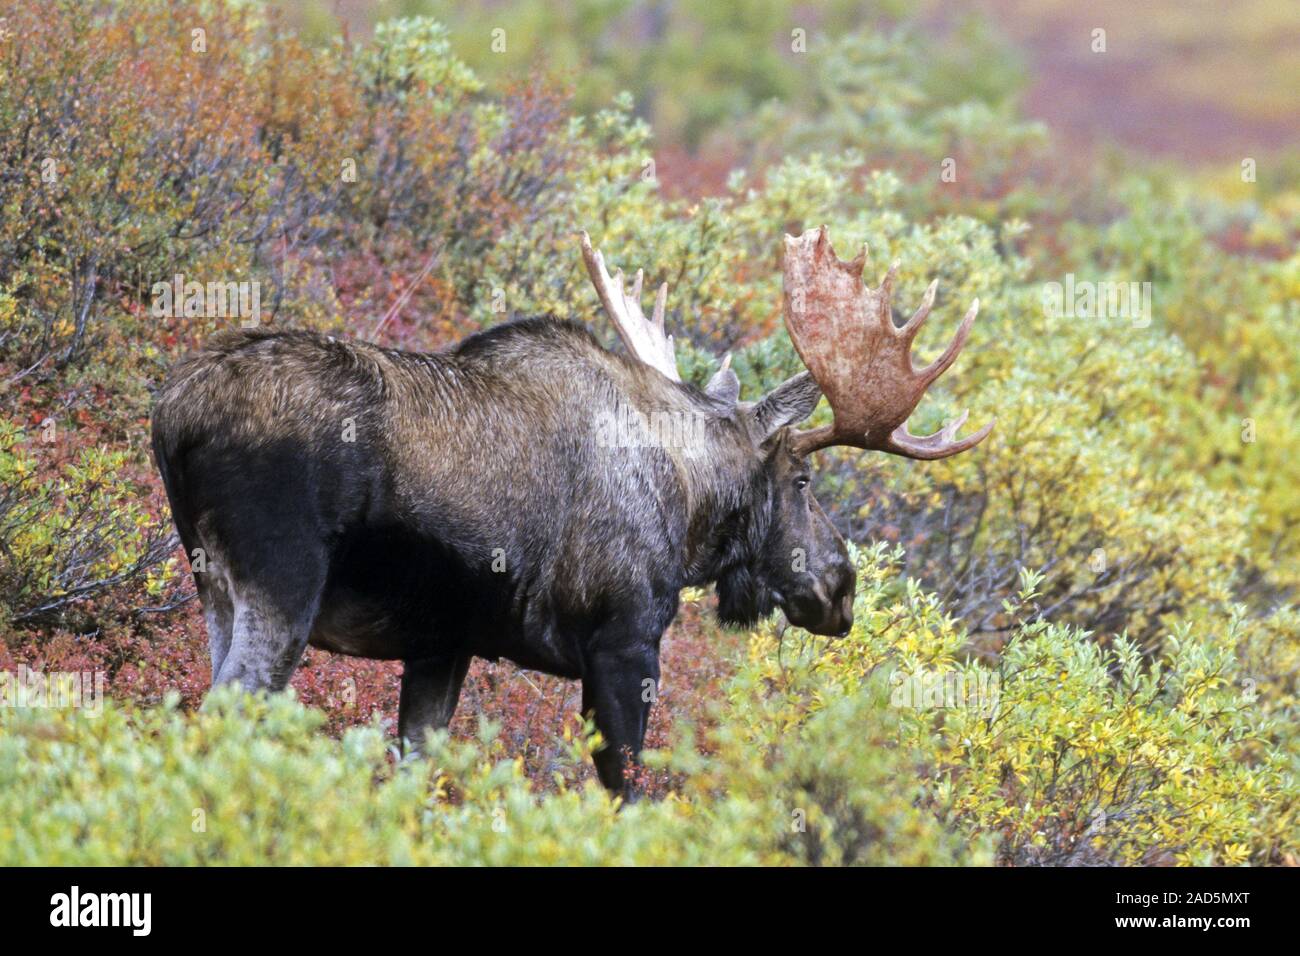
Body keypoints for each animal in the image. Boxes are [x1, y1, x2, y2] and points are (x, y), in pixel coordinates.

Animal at [150, 226, 992, 795]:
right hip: (281, 586)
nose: (842, 588)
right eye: (806, 481)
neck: (689, 510)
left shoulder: (442, 645)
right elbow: (628, 789)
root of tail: (172, 415)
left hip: (213, 586)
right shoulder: (623, 643)